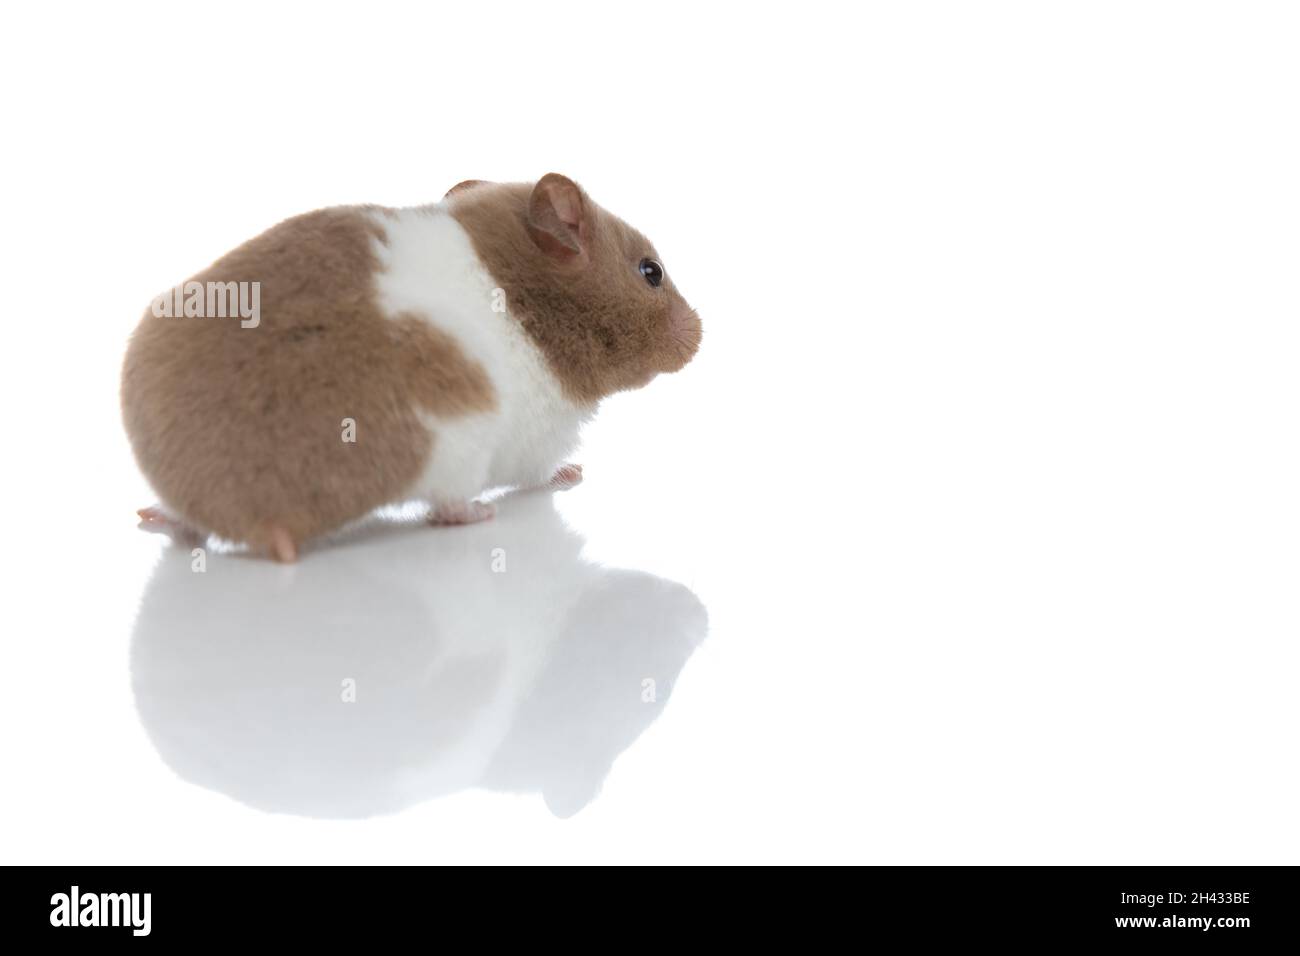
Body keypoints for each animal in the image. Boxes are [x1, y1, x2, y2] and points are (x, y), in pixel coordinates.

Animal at [121, 174, 701, 561]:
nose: (700, 334)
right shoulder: (541, 442)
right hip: (456, 450)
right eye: (651, 272)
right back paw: (479, 512)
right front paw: (575, 472)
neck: (533, 301)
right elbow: (545, 472)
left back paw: (157, 515)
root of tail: (240, 509)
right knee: (446, 509)